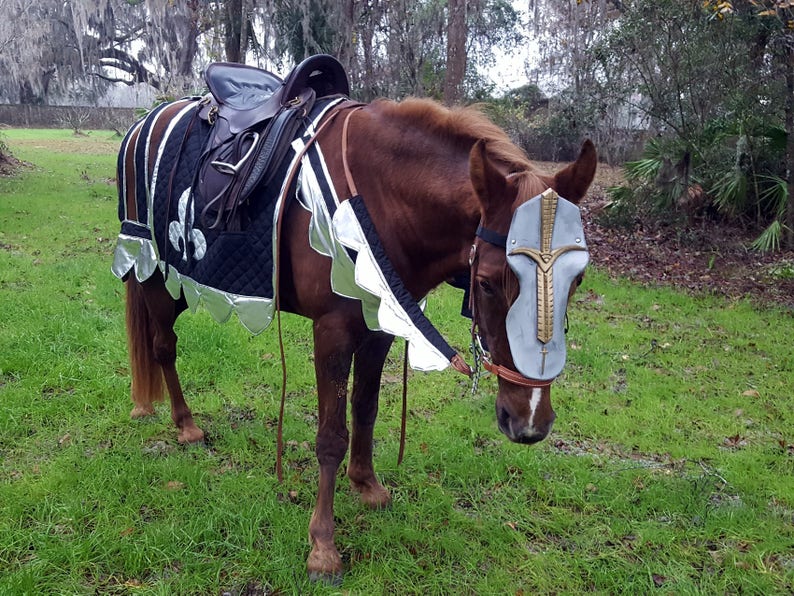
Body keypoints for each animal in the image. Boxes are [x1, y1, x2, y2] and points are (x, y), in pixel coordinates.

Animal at [113, 91, 596, 582]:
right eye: (488, 283)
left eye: (577, 279)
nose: (529, 422)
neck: (378, 197)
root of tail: (143, 122)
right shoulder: (332, 330)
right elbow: (330, 436)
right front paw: (323, 546)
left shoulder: (380, 324)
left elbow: (366, 408)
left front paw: (366, 484)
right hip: (154, 272)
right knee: (163, 348)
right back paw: (185, 424)